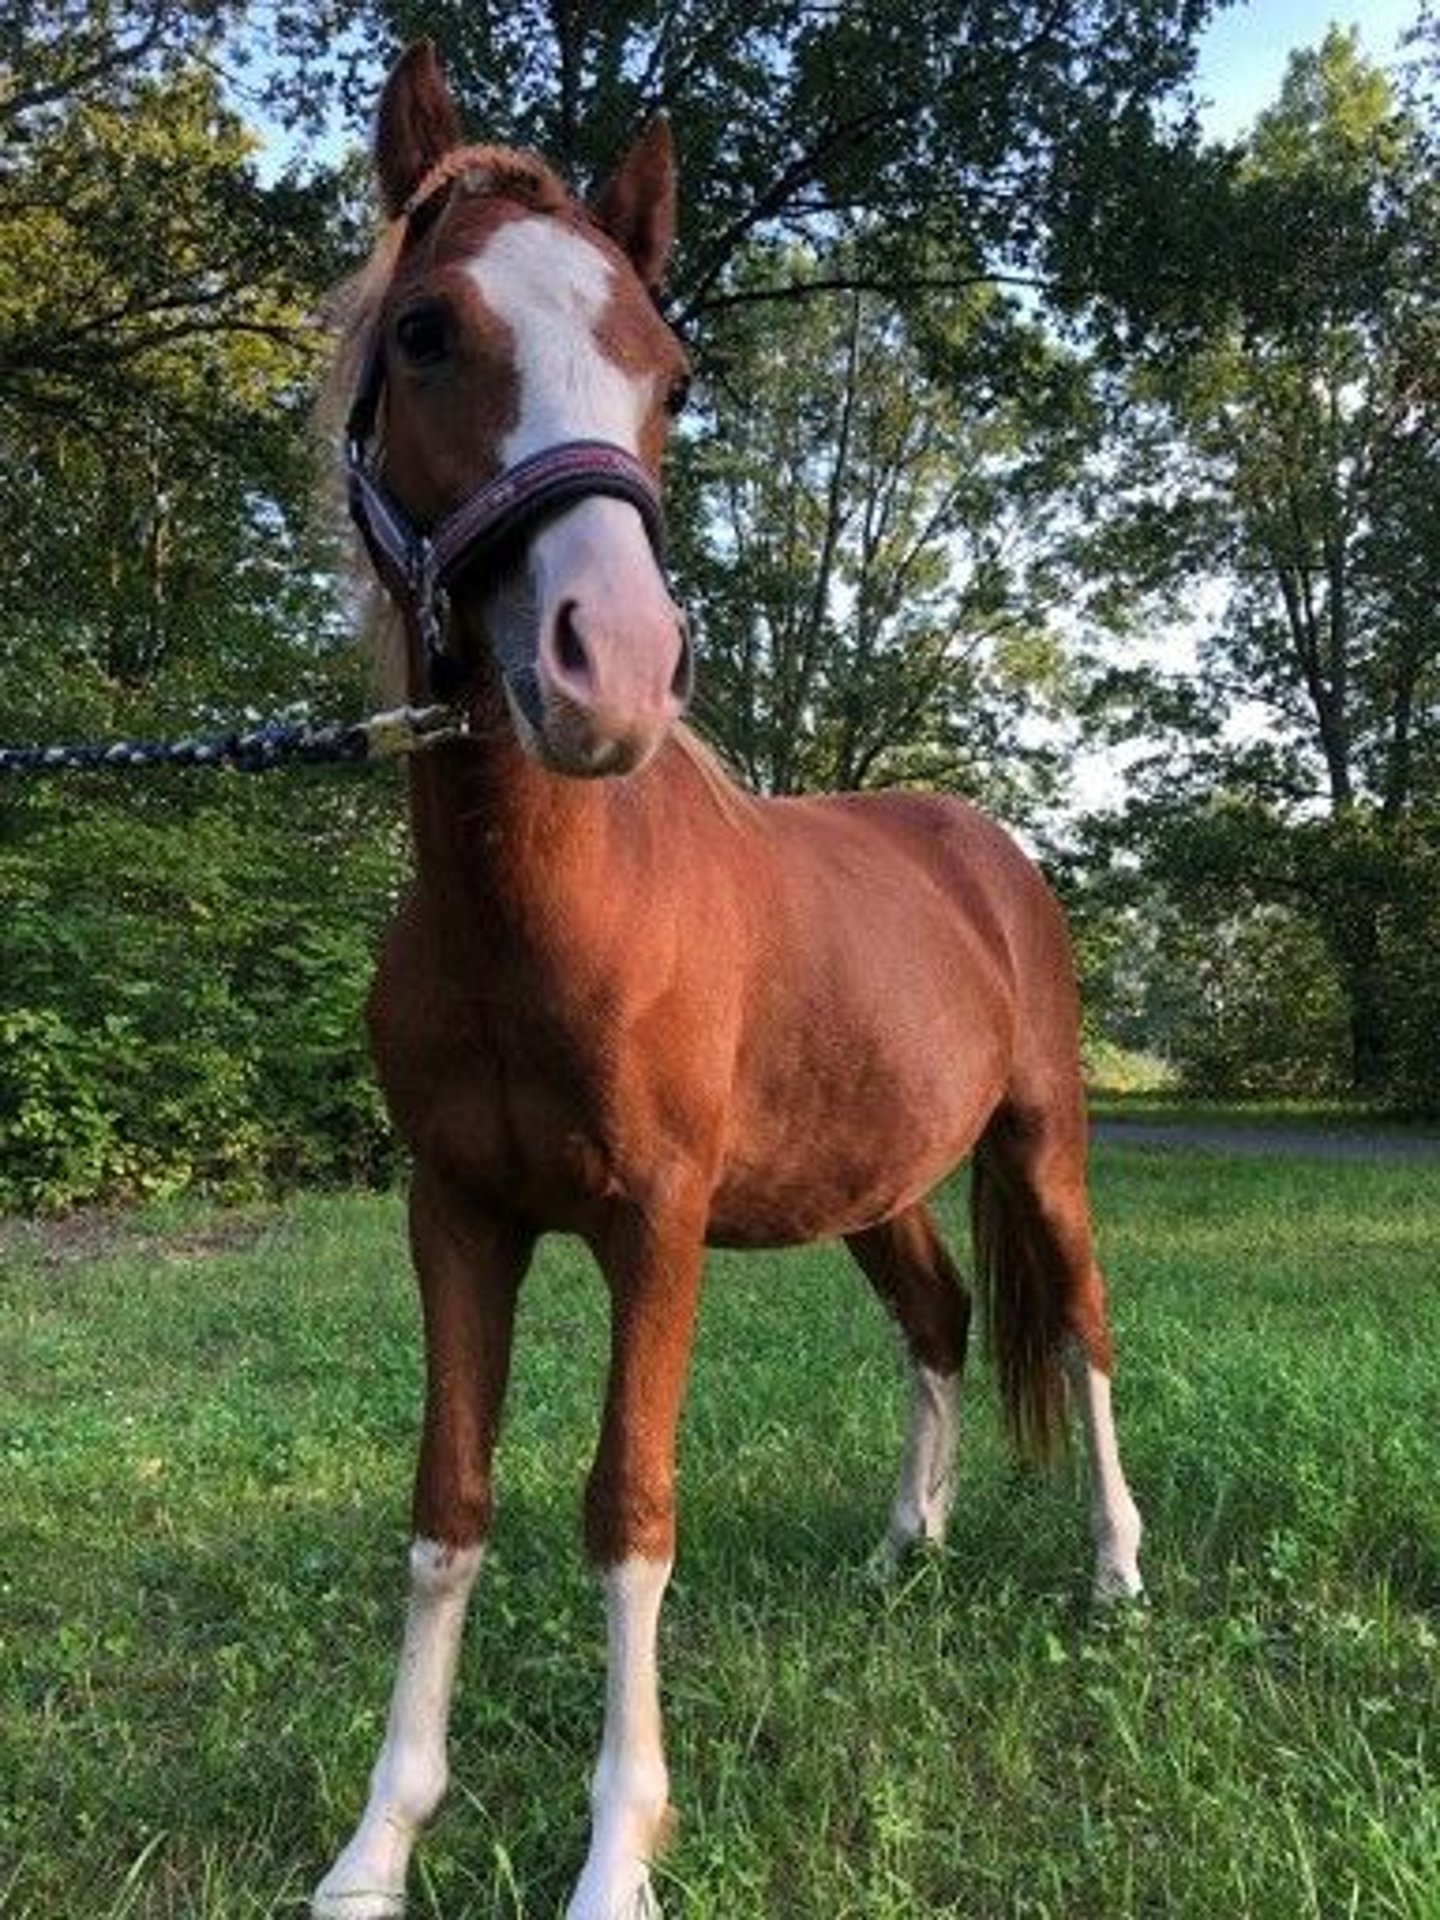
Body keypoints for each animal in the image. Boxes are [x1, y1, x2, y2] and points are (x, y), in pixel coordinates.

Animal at [313, 41, 1143, 1920]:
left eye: (672, 376)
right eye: (427, 333)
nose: (612, 666)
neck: (541, 918)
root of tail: (988, 851)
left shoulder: (658, 1223)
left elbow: (630, 1509)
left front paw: (620, 1848)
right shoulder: (455, 1216)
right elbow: (446, 1506)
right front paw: (380, 1844)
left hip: (1042, 1148)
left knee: (1083, 1328)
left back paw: (1118, 1574)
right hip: (877, 1187)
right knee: (943, 1321)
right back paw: (905, 1550)